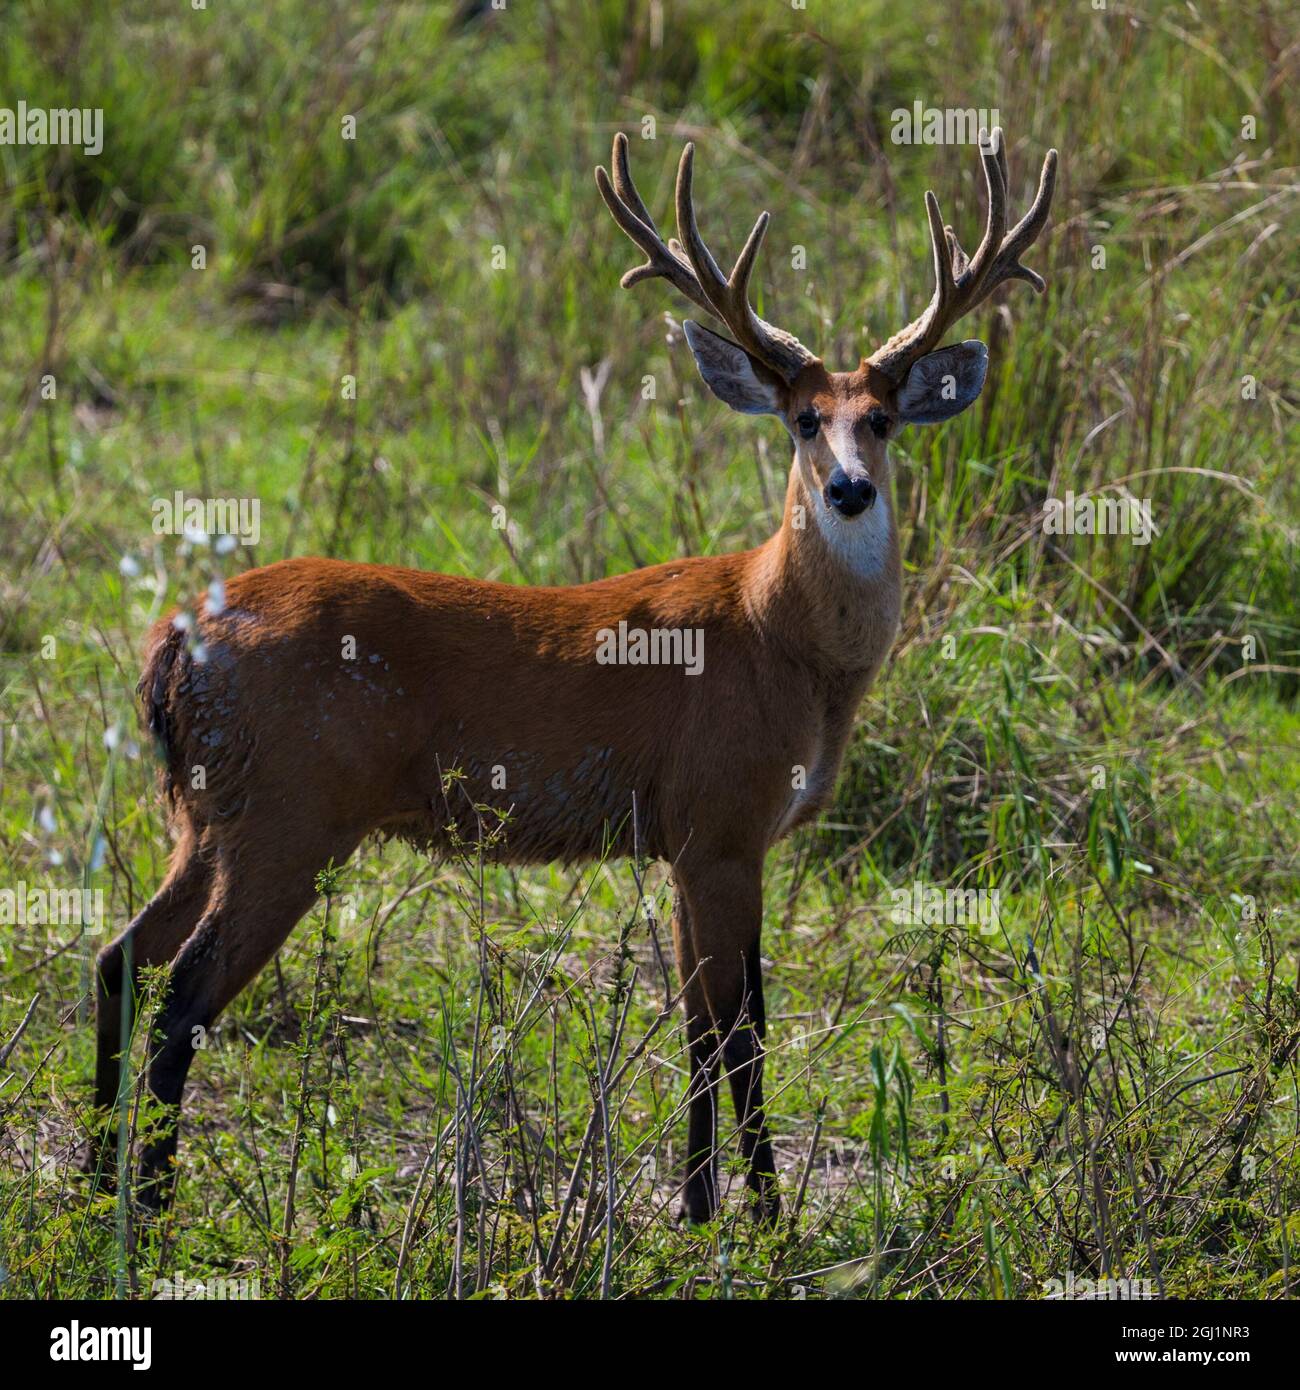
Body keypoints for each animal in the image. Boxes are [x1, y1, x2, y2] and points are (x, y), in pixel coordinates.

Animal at [90, 126, 1056, 1222]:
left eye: (883, 419)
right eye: (804, 418)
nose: (849, 489)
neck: (779, 639)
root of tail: (174, 643)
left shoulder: (686, 837)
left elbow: (699, 1026)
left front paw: (698, 1209)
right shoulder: (725, 820)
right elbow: (743, 1031)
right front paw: (765, 1217)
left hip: (207, 813)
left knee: (118, 960)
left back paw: (92, 1185)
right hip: (293, 814)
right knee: (183, 994)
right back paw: (153, 1206)